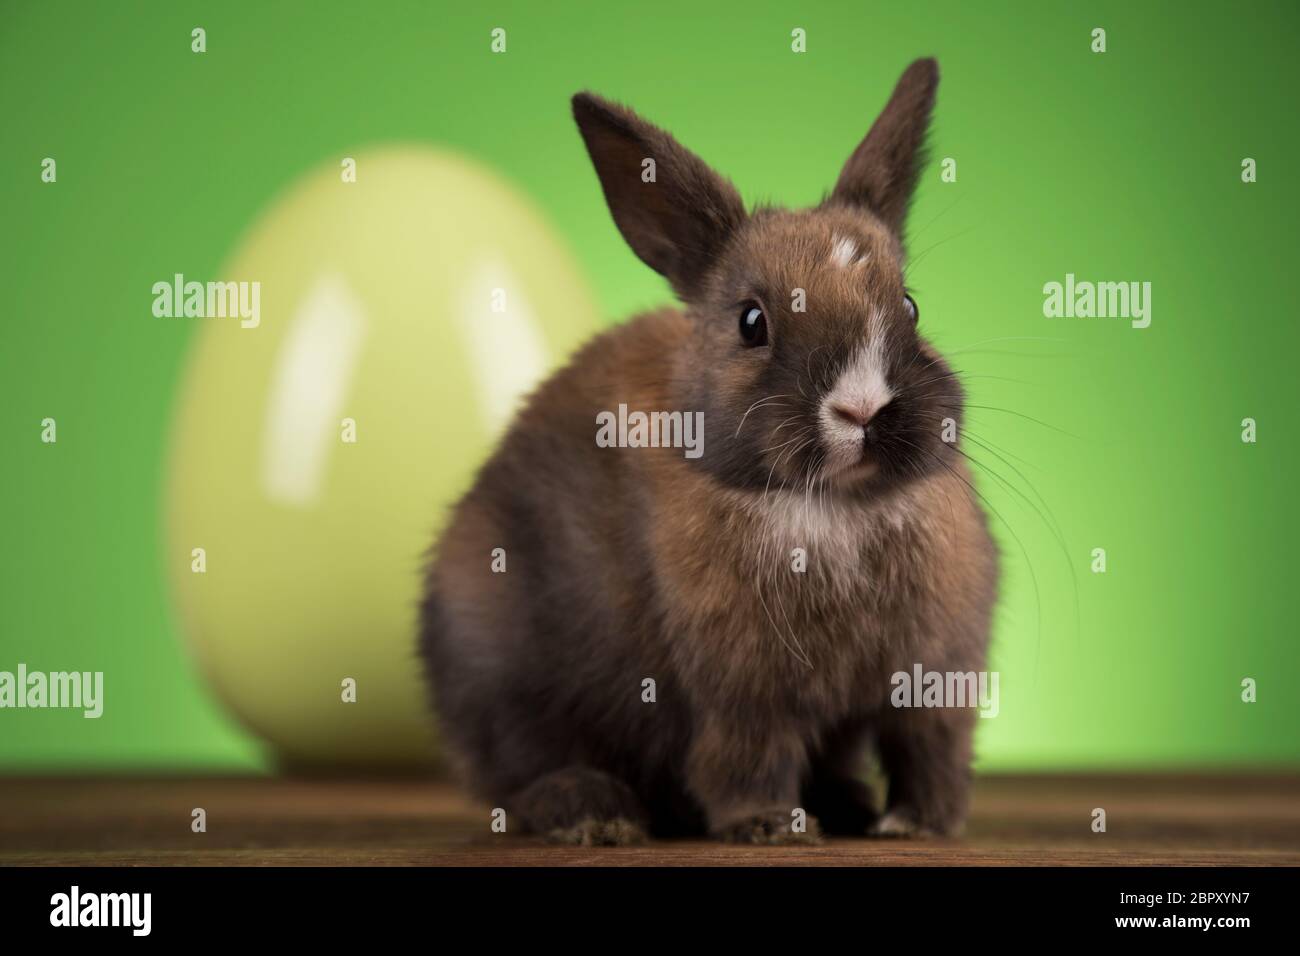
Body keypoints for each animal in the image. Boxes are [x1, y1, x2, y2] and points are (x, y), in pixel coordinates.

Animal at [419, 58, 998, 846]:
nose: (863, 407)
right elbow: (746, 755)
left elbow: (928, 749)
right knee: (520, 773)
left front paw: (919, 826)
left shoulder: (936, 679)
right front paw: (769, 825)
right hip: (500, 670)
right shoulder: (741, 693)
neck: (834, 509)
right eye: (752, 322)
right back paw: (594, 814)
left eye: (909, 305)